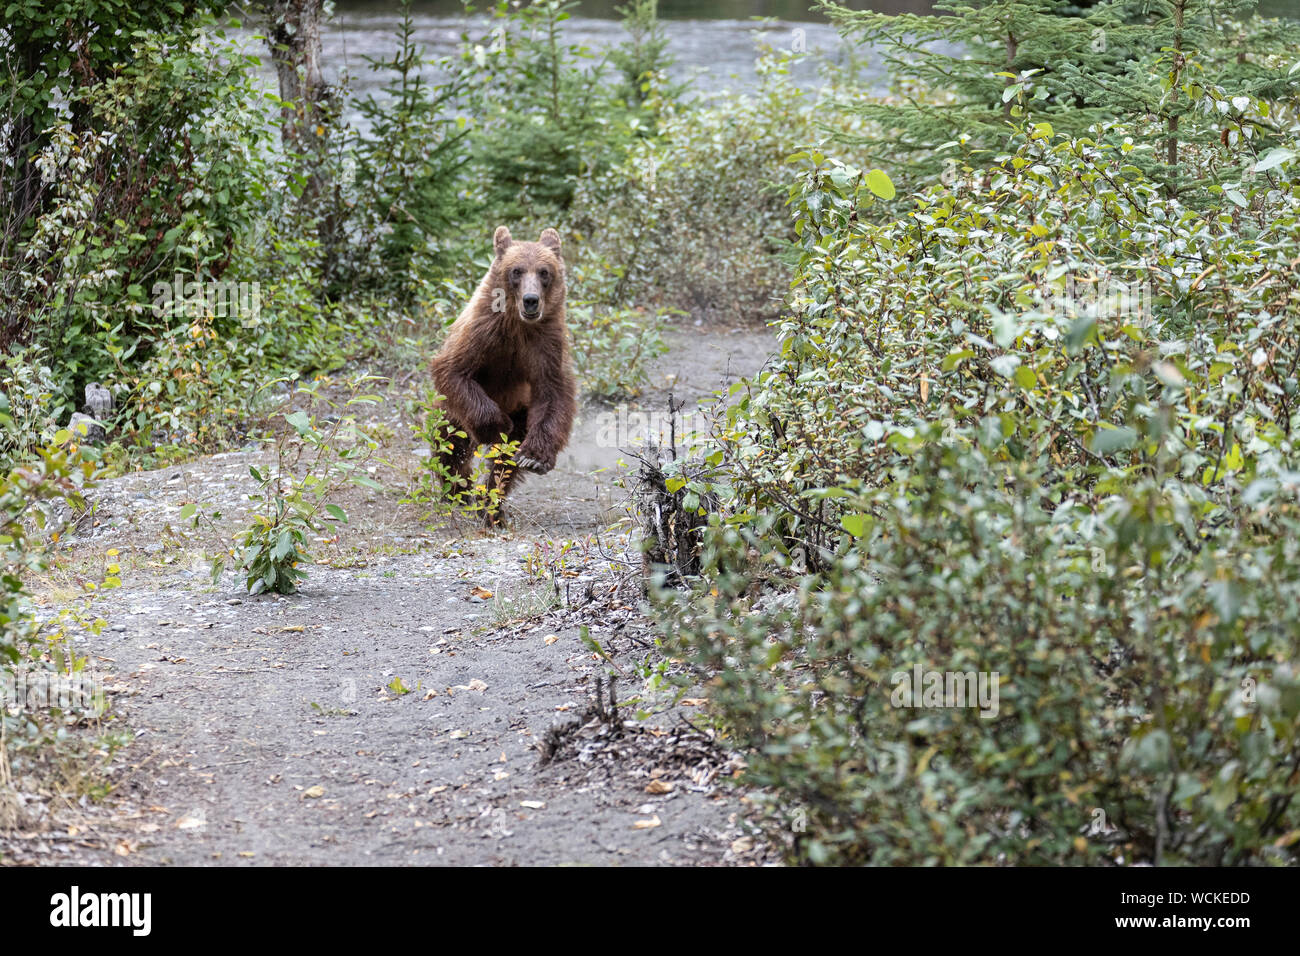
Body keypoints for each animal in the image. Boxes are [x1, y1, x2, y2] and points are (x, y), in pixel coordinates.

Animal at [430, 225, 577, 523]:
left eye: (544, 272)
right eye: (516, 270)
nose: (531, 301)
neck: (517, 324)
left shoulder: (546, 344)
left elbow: (553, 392)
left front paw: (535, 458)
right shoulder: (483, 332)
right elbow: (454, 369)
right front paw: (495, 425)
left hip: (522, 410)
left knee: (506, 460)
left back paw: (491, 504)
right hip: (452, 409)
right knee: (449, 442)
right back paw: (458, 493)